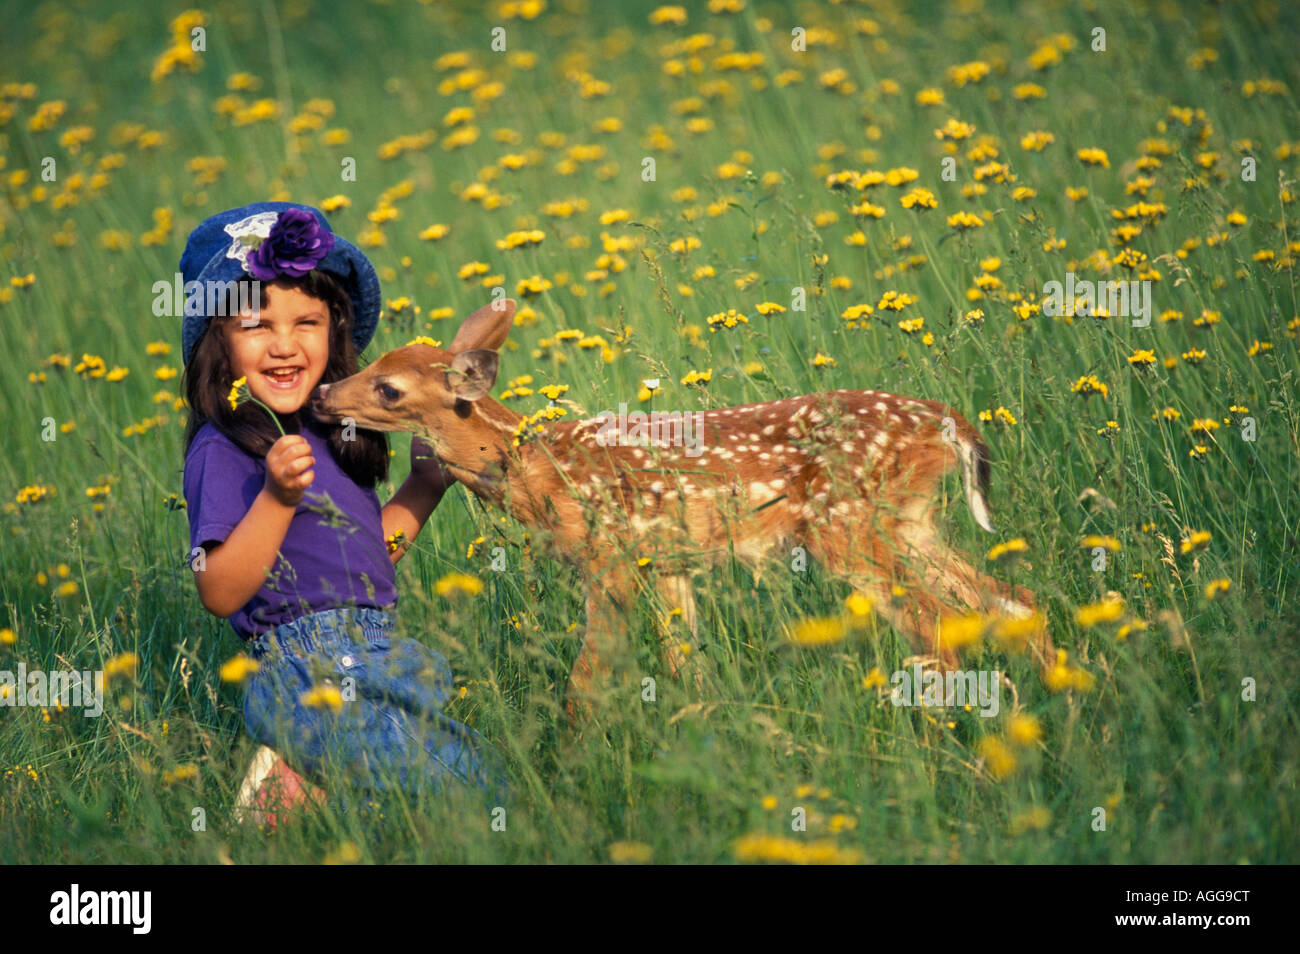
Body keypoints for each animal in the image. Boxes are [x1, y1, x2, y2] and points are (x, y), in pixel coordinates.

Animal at [311, 299, 1054, 720]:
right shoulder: (666, 565)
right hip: (908, 523)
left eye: (388, 387)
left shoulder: (609, 557)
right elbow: (686, 667)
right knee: (1012, 600)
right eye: (376, 361)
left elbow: (587, 679)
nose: (321, 396)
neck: (537, 467)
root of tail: (948, 423)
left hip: (847, 527)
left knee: (938, 627)